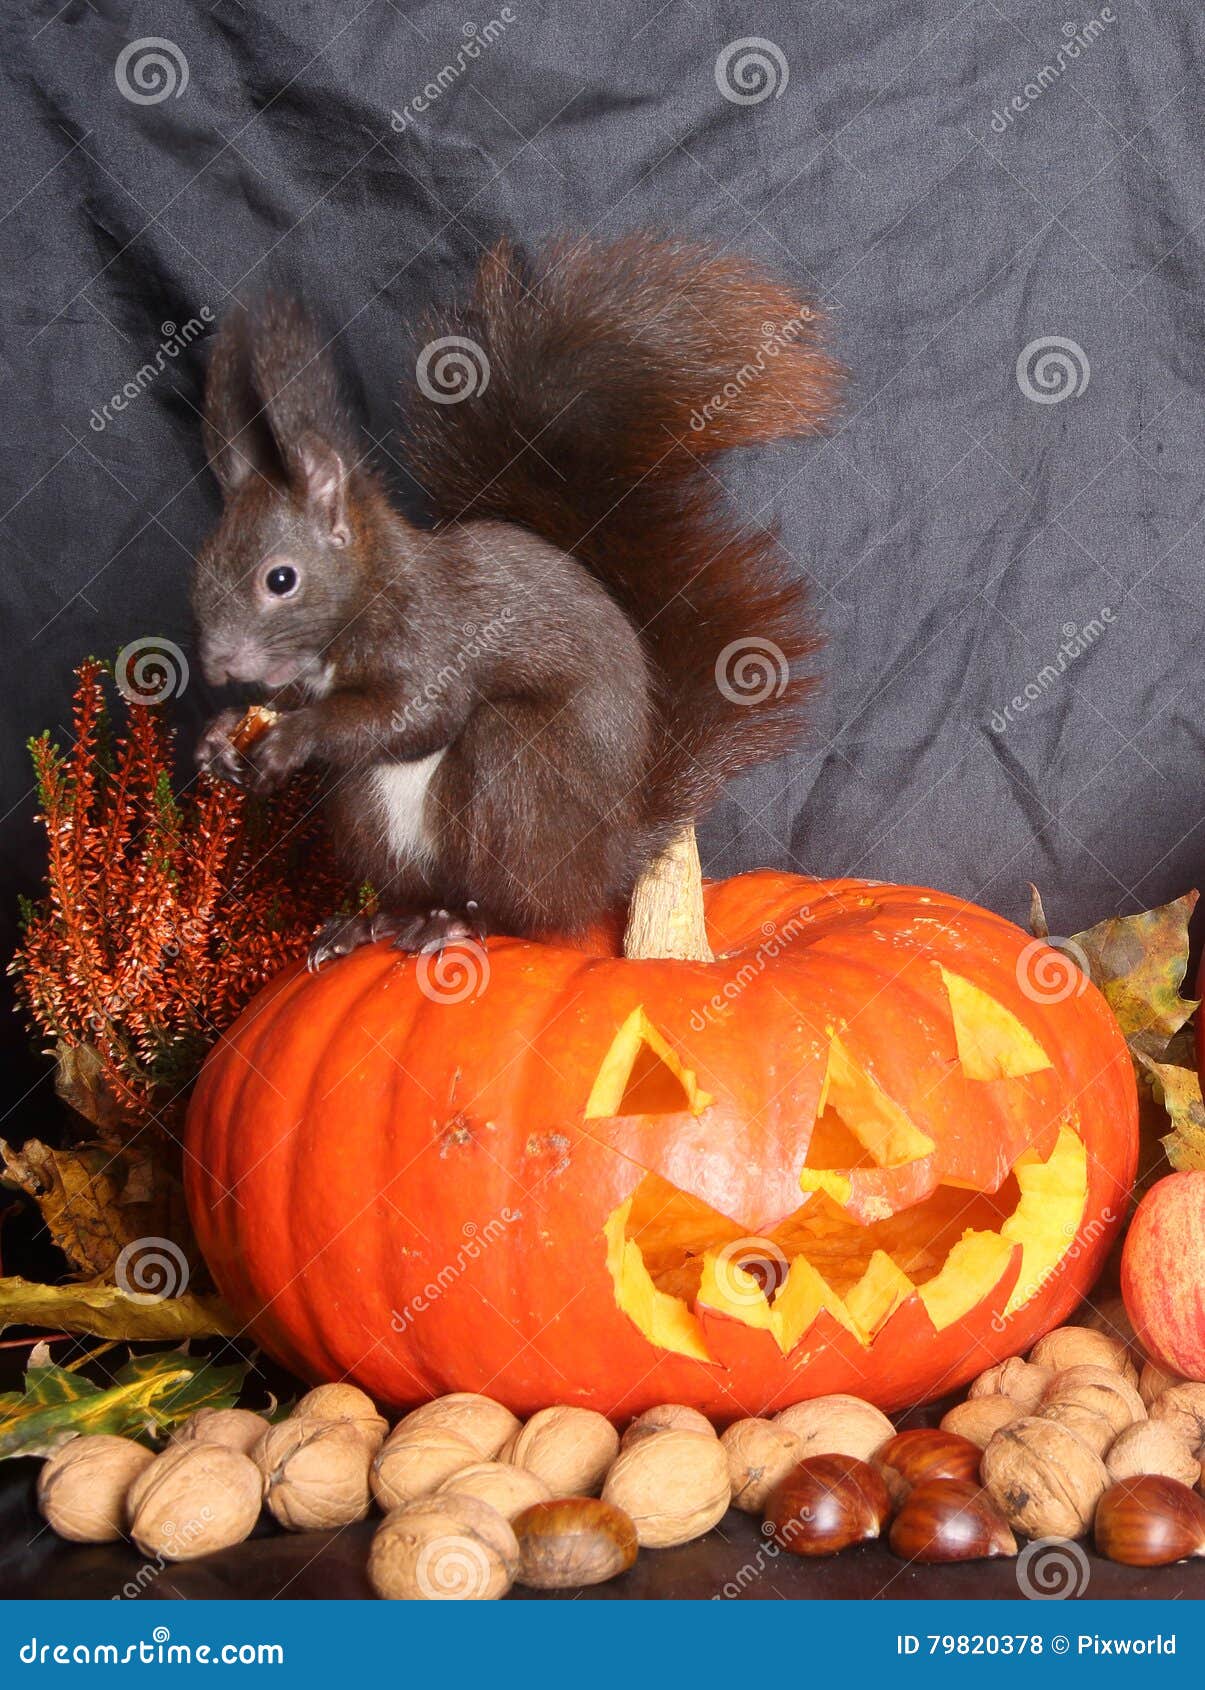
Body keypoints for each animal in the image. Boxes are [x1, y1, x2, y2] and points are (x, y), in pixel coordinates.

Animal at [192, 234, 842, 967]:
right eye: (202, 566)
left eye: (280, 580)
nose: (215, 662)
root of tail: (603, 868)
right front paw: (220, 736)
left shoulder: (435, 636)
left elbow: (420, 717)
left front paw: (292, 738)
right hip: (367, 811)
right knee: (412, 884)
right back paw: (371, 923)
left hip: (518, 777)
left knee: (518, 907)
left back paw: (456, 924)